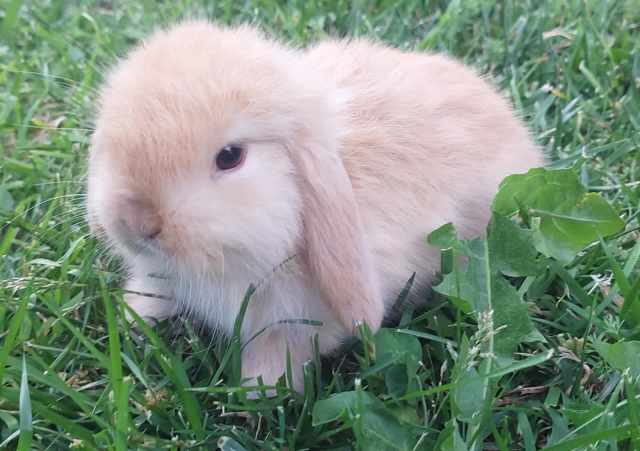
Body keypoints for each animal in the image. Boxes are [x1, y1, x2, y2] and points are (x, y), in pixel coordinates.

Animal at [86, 20, 543, 392]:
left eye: (230, 156)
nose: (136, 222)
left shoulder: (295, 322)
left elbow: (279, 349)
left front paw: (259, 392)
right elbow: (158, 293)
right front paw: (132, 317)